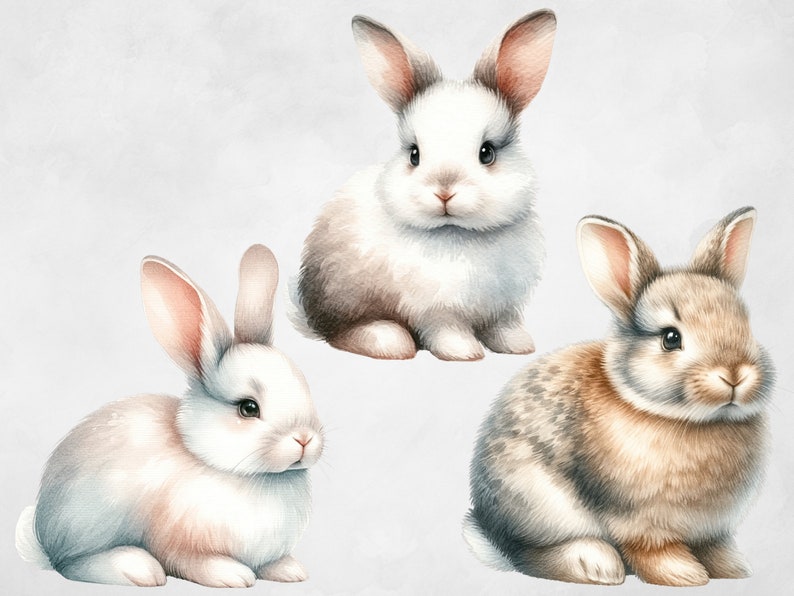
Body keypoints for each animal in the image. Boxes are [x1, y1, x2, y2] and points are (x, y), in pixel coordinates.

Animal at [15, 244, 325, 587]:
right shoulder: (176, 543)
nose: (304, 439)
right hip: (87, 521)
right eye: (248, 408)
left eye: (303, 383)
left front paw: (290, 570)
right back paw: (137, 568)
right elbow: (191, 561)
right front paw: (232, 575)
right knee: (70, 564)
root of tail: (43, 536)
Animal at [292, 11, 556, 361]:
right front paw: (465, 353)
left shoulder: (503, 307)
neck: (457, 233)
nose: (444, 191)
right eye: (414, 154)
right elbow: (447, 330)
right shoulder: (436, 311)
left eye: (487, 152)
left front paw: (519, 345)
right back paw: (389, 340)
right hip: (345, 296)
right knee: (339, 332)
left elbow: (503, 326)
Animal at [463, 206, 774, 586]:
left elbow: (713, 547)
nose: (734, 374)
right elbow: (652, 551)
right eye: (671, 338)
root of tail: (487, 527)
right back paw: (596, 565)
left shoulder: (709, 530)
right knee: (530, 556)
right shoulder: (639, 523)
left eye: (745, 325)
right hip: (538, 505)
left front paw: (732, 568)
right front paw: (683, 574)